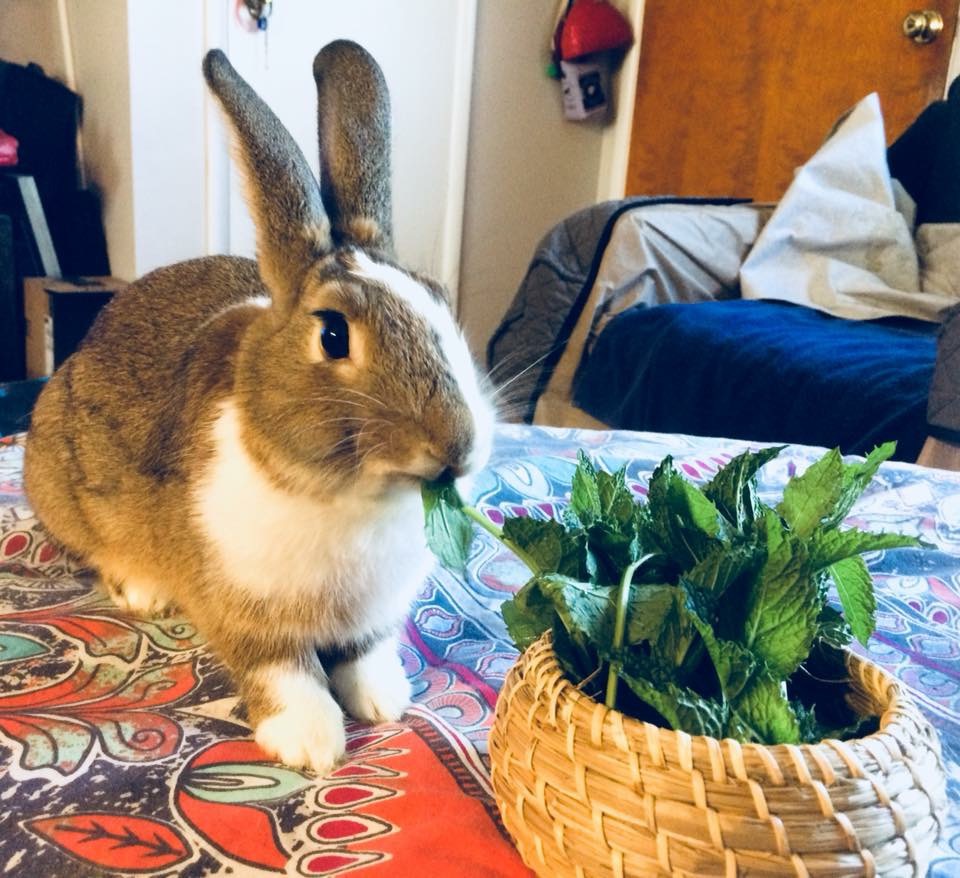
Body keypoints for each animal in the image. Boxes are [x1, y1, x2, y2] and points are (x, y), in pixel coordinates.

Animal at [23, 40, 495, 774]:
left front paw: (385, 701)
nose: (457, 447)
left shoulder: (371, 619)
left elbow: (365, 656)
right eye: (333, 336)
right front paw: (310, 744)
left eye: (442, 303)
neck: (349, 497)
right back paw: (141, 587)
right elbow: (282, 672)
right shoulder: (244, 613)